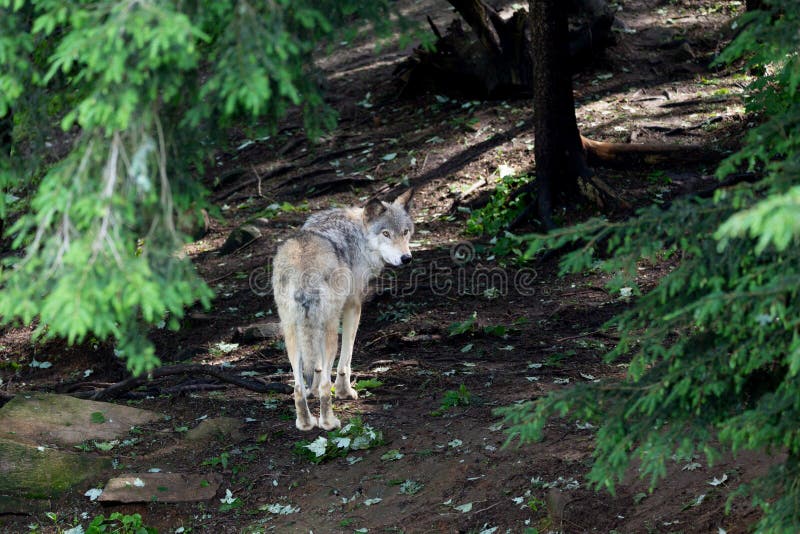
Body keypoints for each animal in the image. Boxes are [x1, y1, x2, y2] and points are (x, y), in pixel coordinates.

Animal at [272, 189, 415, 431]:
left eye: (405, 232)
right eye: (386, 233)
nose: (406, 258)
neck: (358, 235)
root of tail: (302, 268)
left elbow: (317, 367)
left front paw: (314, 387)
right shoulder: (353, 306)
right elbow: (345, 359)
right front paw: (344, 391)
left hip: (292, 332)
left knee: (297, 388)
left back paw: (305, 422)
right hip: (330, 330)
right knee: (325, 384)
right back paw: (328, 422)